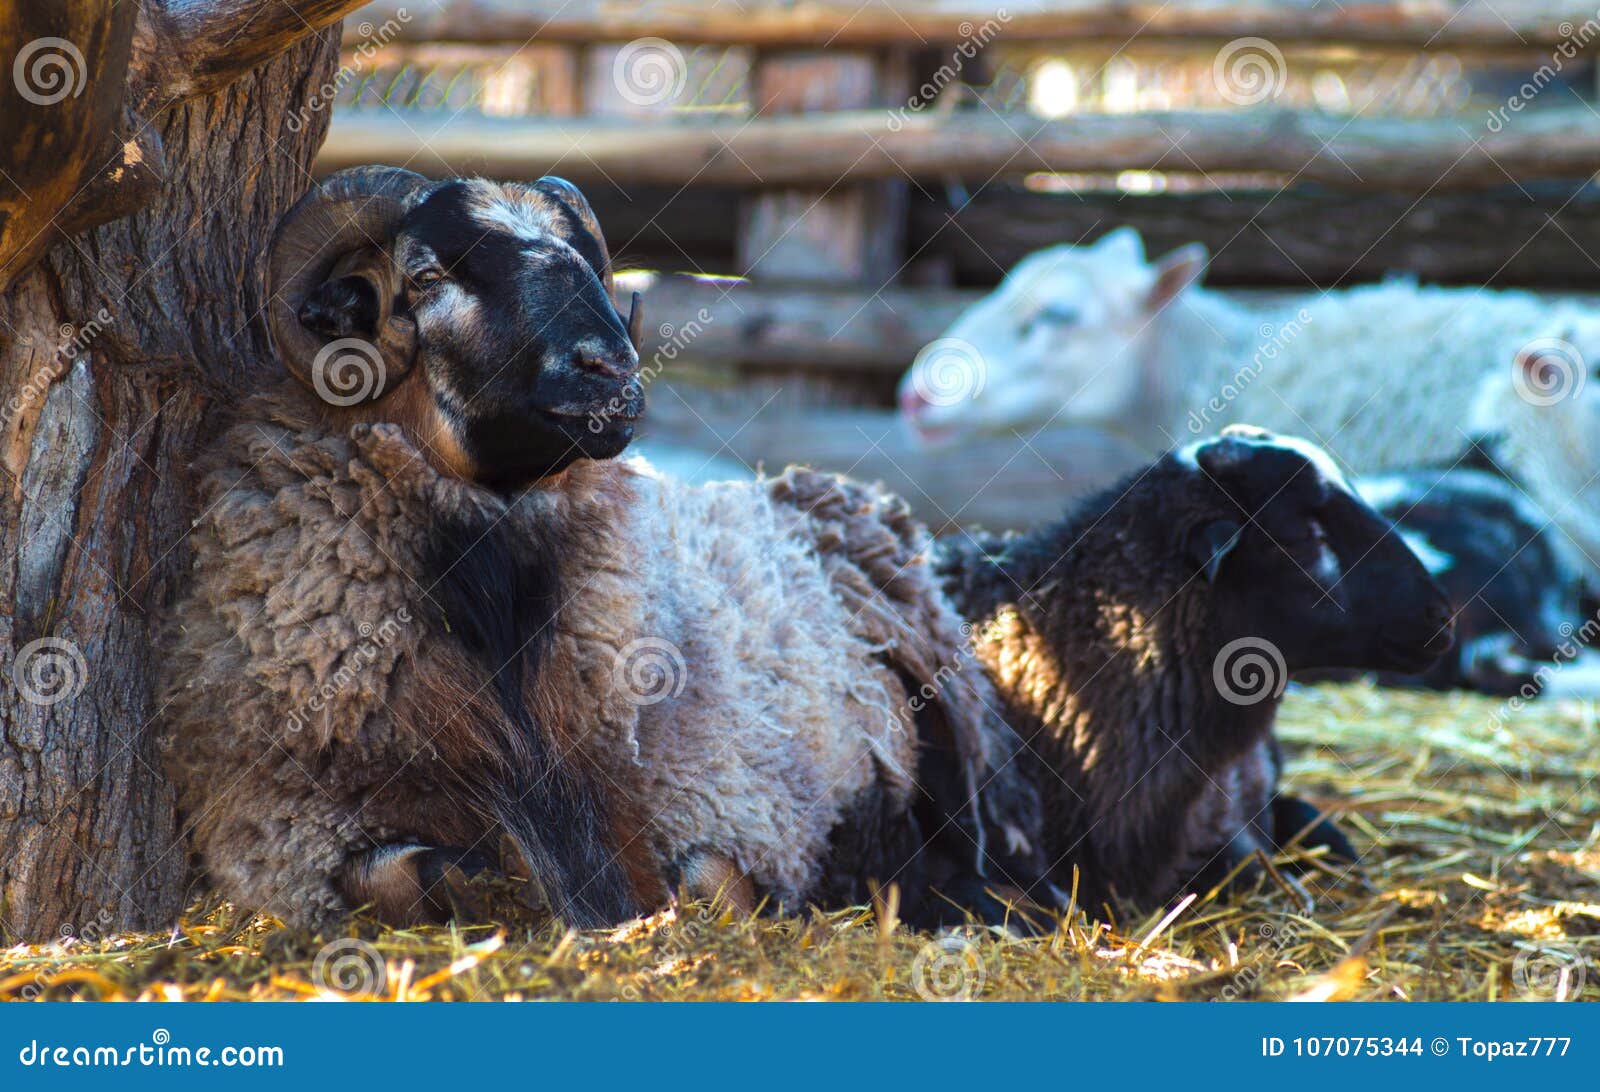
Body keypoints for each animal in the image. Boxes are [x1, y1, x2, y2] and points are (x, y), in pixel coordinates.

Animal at [158, 166, 1032, 931]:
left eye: (586, 259)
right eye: (426, 275)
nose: (610, 368)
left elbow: (703, 876)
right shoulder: (281, 826)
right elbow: (395, 874)